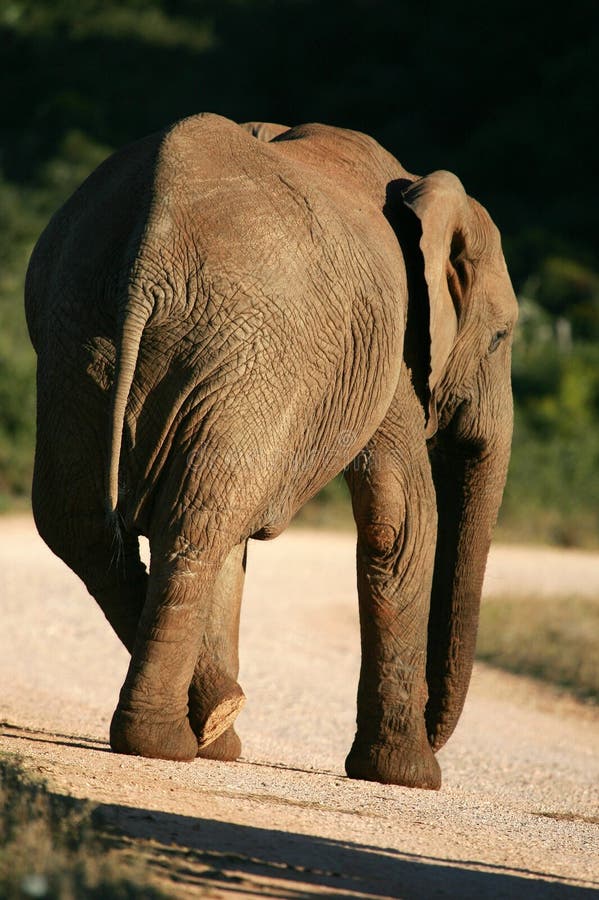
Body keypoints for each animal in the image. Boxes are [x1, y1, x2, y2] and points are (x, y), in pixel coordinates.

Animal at [25, 113, 517, 789]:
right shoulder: (391, 350)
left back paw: (212, 732)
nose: (436, 734)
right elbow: (401, 520)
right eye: (501, 338)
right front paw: (409, 778)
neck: (418, 188)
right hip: (245, 345)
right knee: (196, 518)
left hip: (82, 330)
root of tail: (149, 252)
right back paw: (173, 738)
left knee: (91, 523)